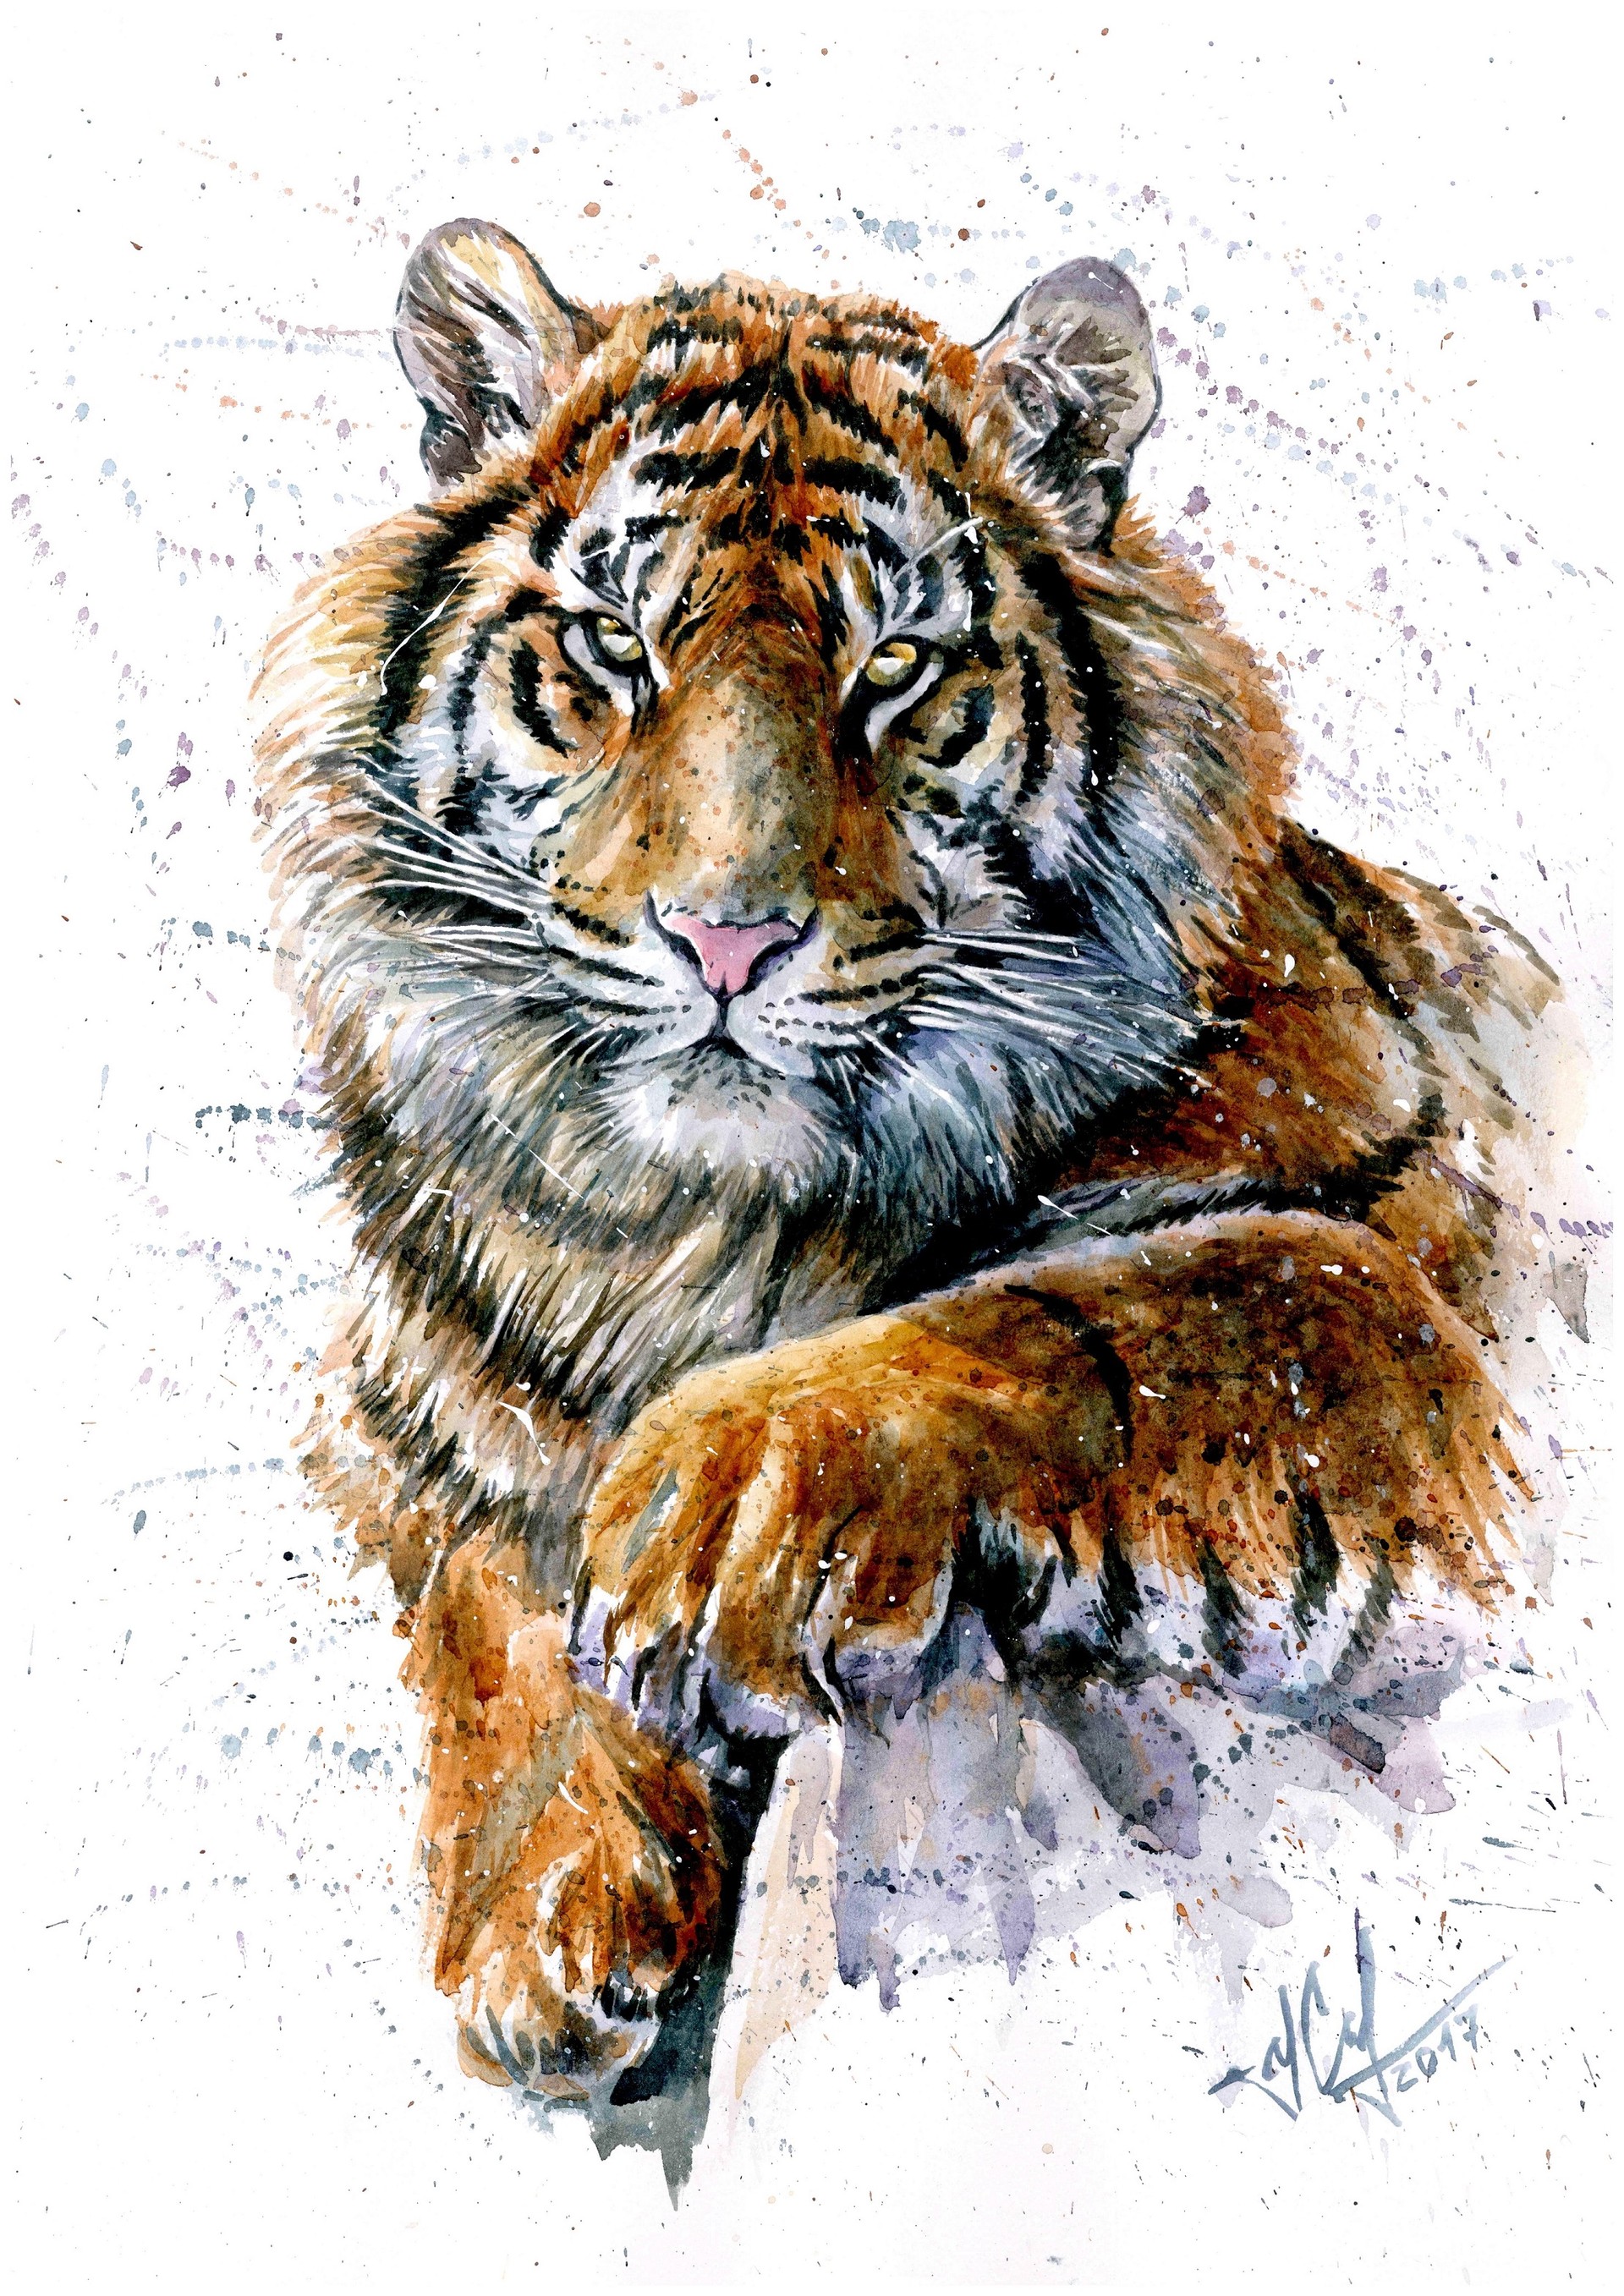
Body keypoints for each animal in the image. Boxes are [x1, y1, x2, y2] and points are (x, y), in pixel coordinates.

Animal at [254, 217, 1563, 2122]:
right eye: (614, 647)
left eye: (893, 670)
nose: (726, 940)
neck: (698, 1229)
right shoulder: (412, 1409)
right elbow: (485, 1591)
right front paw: (542, 1919)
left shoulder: (1400, 1265)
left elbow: (1086, 1311)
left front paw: (712, 1509)